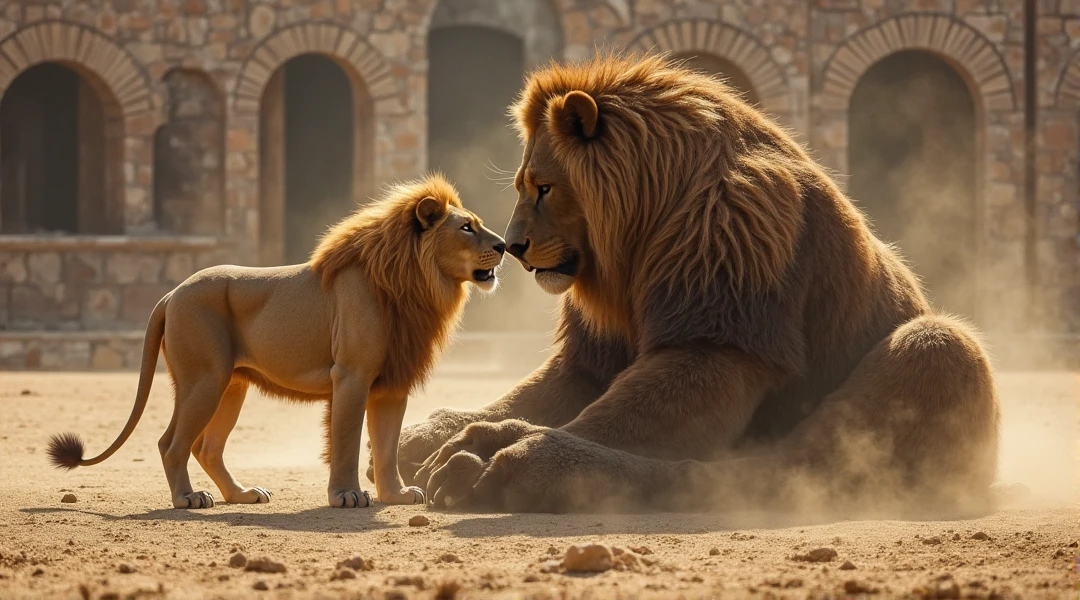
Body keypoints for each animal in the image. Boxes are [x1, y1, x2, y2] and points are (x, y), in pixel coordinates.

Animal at [47, 174, 506, 510]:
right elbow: (348, 440)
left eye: (478, 223)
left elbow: (387, 444)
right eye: (467, 228)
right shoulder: (352, 375)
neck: (414, 285)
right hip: (204, 379)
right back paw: (188, 498)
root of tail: (172, 293)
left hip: (231, 385)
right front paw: (346, 495)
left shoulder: (391, 384)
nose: (504, 245)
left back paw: (242, 495)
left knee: (207, 447)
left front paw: (395, 495)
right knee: (172, 443)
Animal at [373, 53, 1001, 516]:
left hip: (937, 346)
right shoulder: (597, 352)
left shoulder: (720, 330)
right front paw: (435, 433)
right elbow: (541, 394)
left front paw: (478, 452)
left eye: (545, 187)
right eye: (524, 186)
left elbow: (615, 421)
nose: (513, 247)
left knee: (780, 471)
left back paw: (519, 472)